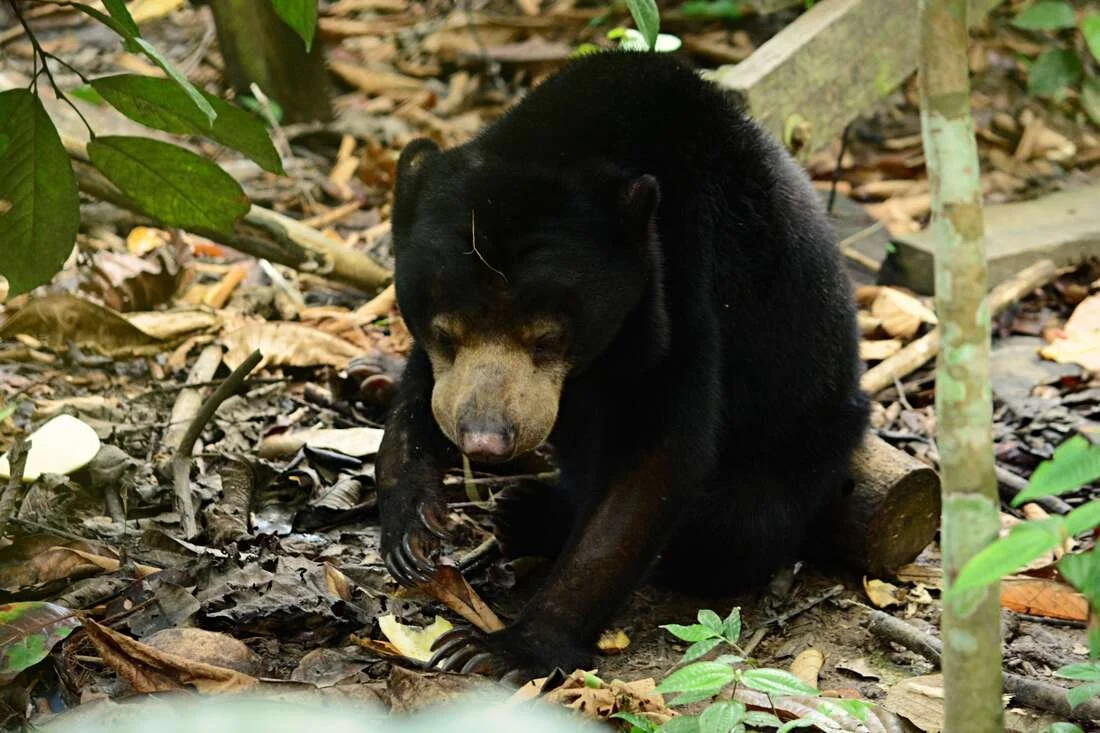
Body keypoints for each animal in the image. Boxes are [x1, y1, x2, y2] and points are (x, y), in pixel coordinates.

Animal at [376, 50, 869, 682]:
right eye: (445, 330)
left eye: (548, 338)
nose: (485, 439)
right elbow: (420, 390)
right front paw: (411, 529)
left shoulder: (683, 285)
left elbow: (657, 464)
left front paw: (503, 648)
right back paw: (526, 509)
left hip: (804, 444)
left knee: (739, 525)